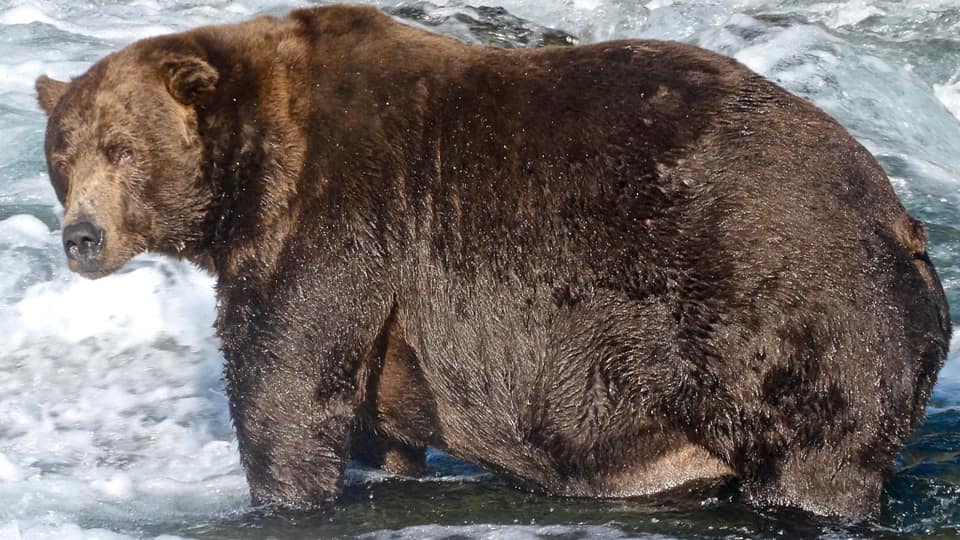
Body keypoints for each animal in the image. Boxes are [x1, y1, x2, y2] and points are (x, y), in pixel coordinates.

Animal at [35, 4, 950, 519]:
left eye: (121, 147)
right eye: (61, 154)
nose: (81, 237)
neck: (254, 175)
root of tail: (900, 218)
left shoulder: (339, 219)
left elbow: (286, 384)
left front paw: (279, 494)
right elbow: (368, 422)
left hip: (793, 316)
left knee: (815, 458)